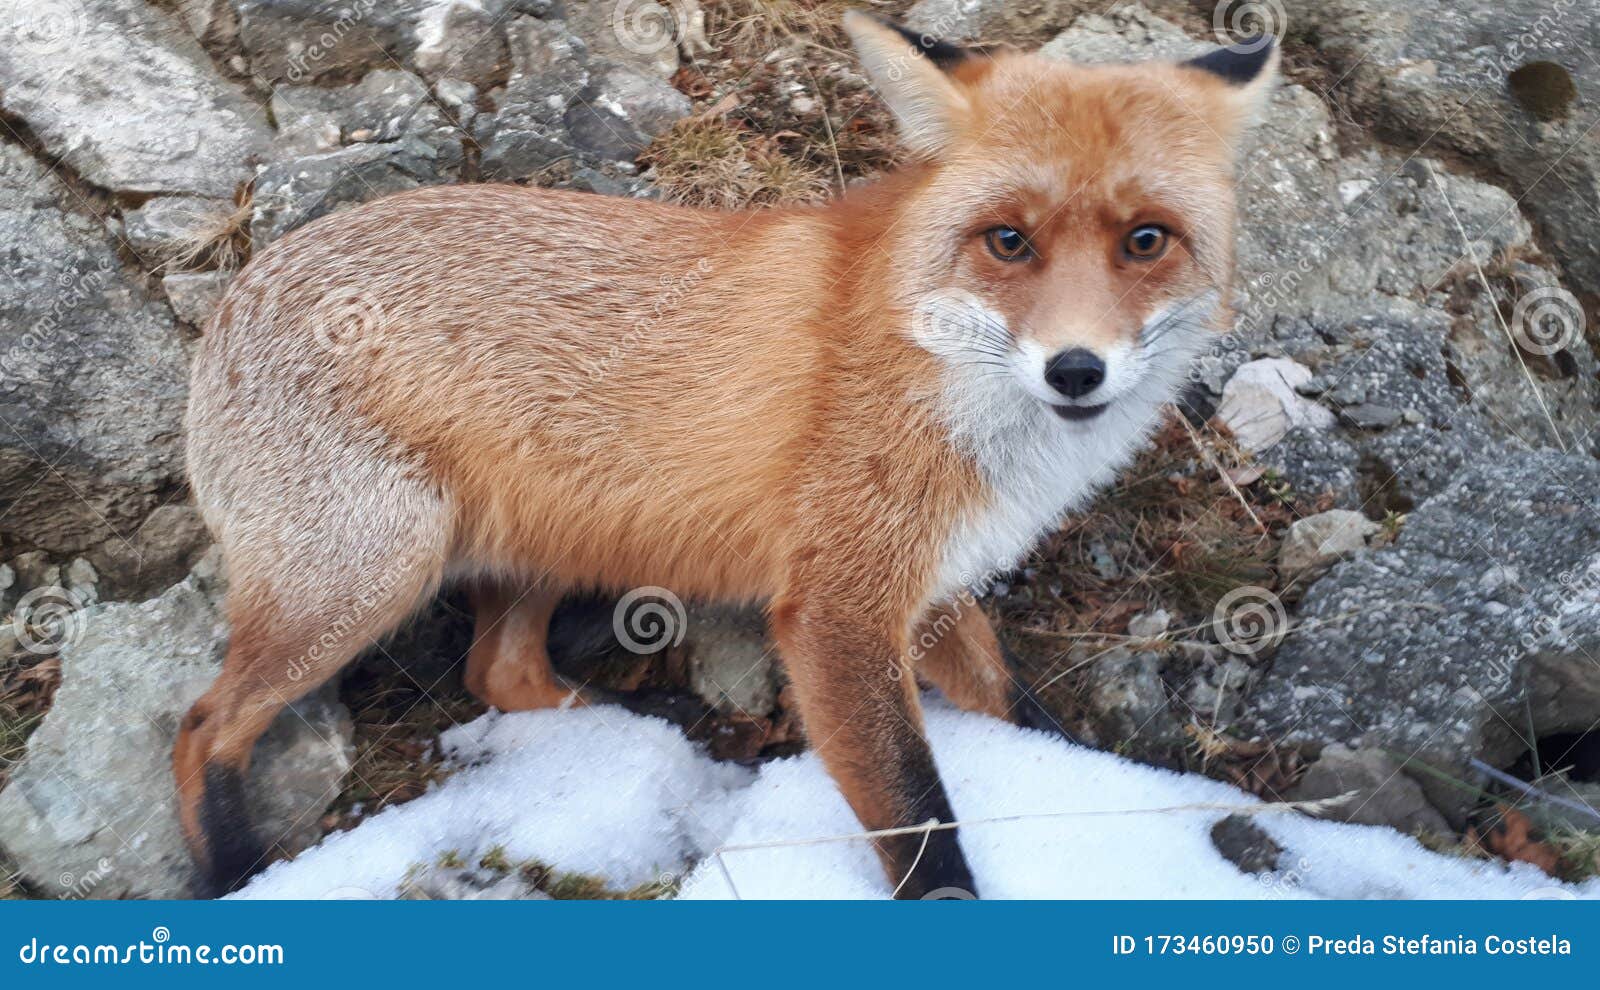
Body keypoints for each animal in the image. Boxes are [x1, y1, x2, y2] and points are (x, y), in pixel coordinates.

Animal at [175, 12, 1277, 899]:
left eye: (1147, 240)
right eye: (1008, 241)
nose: (1076, 370)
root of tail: (239, 290)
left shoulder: (928, 588)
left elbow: (1028, 717)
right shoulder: (836, 608)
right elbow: (920, 820)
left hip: (537, 551)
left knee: (500, 674)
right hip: (367, 578)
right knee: (205, 727)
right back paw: (235, 872)